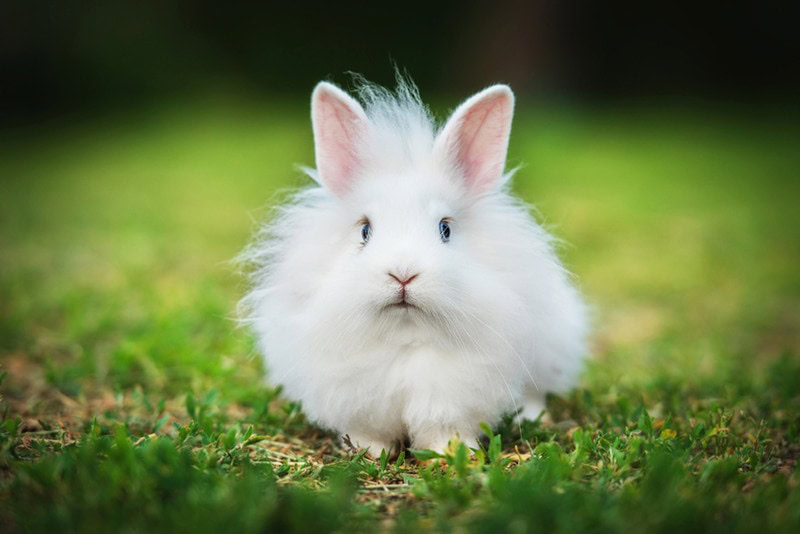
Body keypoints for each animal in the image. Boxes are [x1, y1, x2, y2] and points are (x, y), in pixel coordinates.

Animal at [239, 75, 588, 455]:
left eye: (445, 229)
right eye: (365, 230)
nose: (403, 274)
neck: (405, 336)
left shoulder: (453, 398)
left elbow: (445, 430)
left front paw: (451, 453)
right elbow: (368, 432)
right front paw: (369, 452)